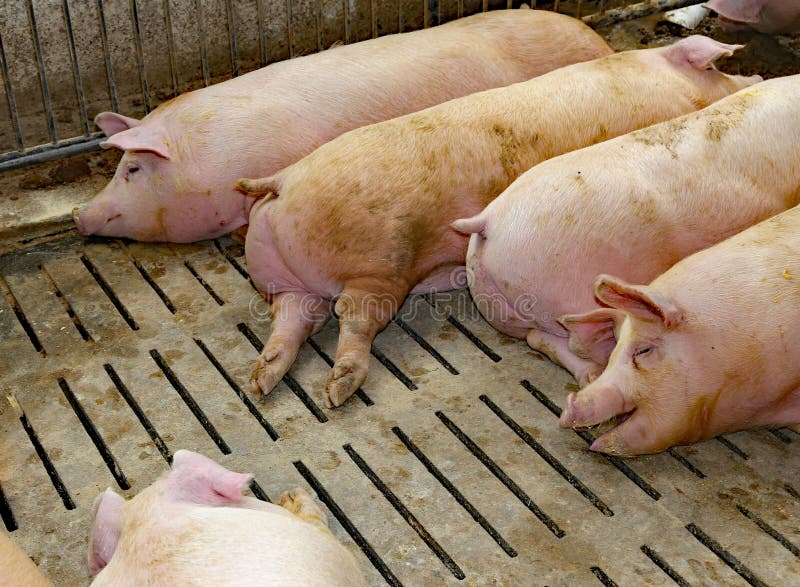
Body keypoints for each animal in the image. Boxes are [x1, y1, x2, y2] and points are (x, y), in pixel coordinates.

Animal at [236, 36, 758, 408]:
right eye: (715, 67)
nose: (753, 73)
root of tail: (283, 180)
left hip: (287, 281)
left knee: (289, 321)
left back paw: (258, 384)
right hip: (377, 268)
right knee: (354, 321)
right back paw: (336, 392)